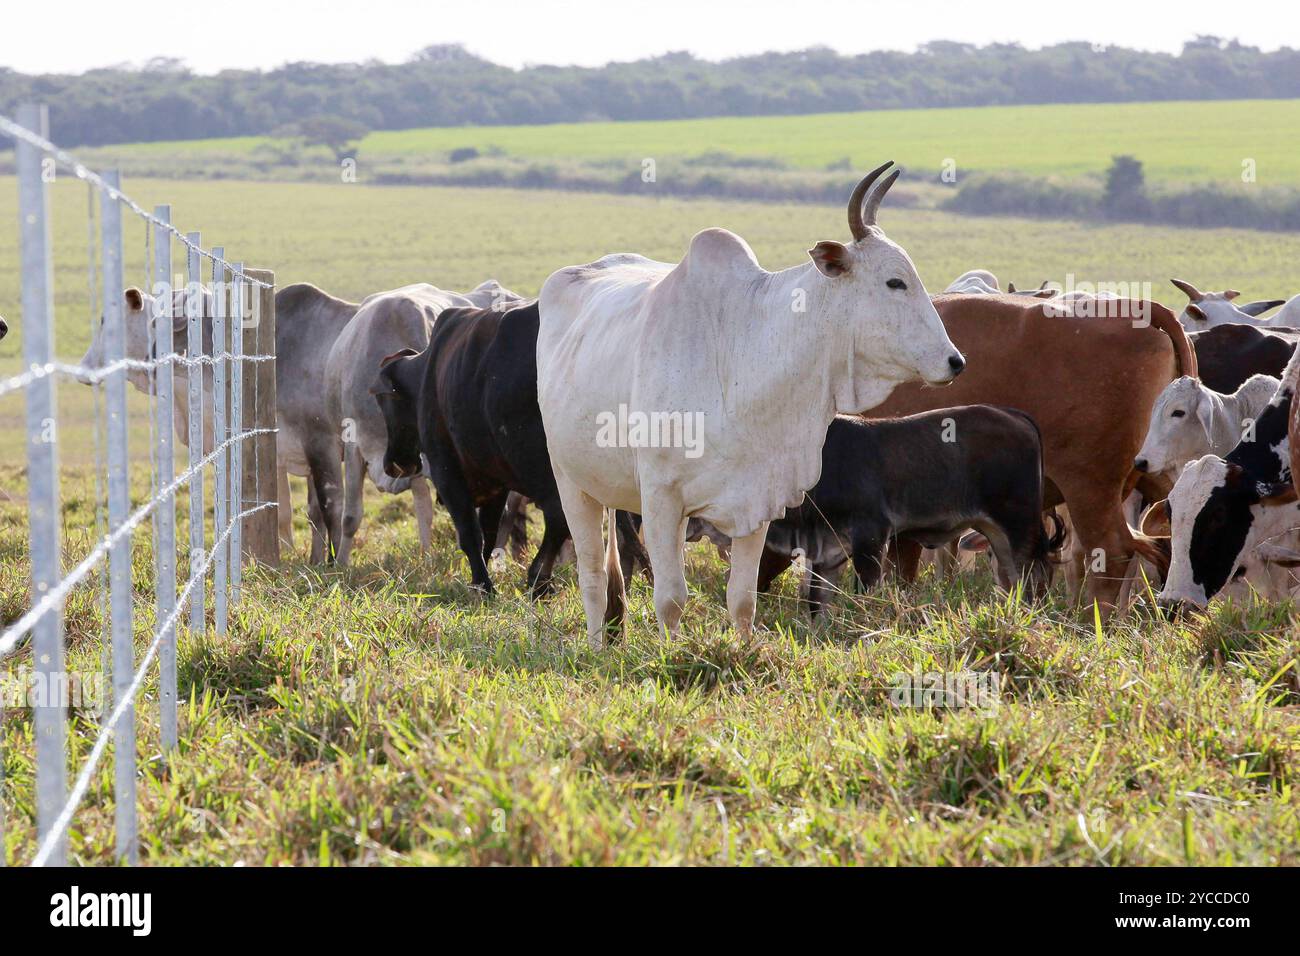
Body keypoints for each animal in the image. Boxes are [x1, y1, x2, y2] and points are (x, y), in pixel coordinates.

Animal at [372, 301, 648, 596]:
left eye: (386, 402)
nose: (395, 463)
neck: (429, 371)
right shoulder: (495, 482)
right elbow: (489, 532)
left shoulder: (447, 471)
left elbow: (470, 533)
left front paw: (483, 584)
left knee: (559, 515)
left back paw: (539, 578)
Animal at [536, 161, 965, 646]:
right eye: (895, 281)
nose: (955, 361)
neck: (743, 350)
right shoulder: (662, 497)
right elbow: (670, 598)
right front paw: (670, 655)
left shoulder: (757, 497)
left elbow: (742, 598)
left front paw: (743, 652)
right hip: (572, 481)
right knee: (592, 575)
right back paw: (596, 647)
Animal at [736, 407, 1063, 617]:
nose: (756, 588)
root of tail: (1016, 415)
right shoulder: (827, 551)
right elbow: (818, 603)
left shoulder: (869, 538)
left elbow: (864, 592)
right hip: (998, 537)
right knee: (1013, 582)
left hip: (1020, 529)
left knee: (1036, 575)